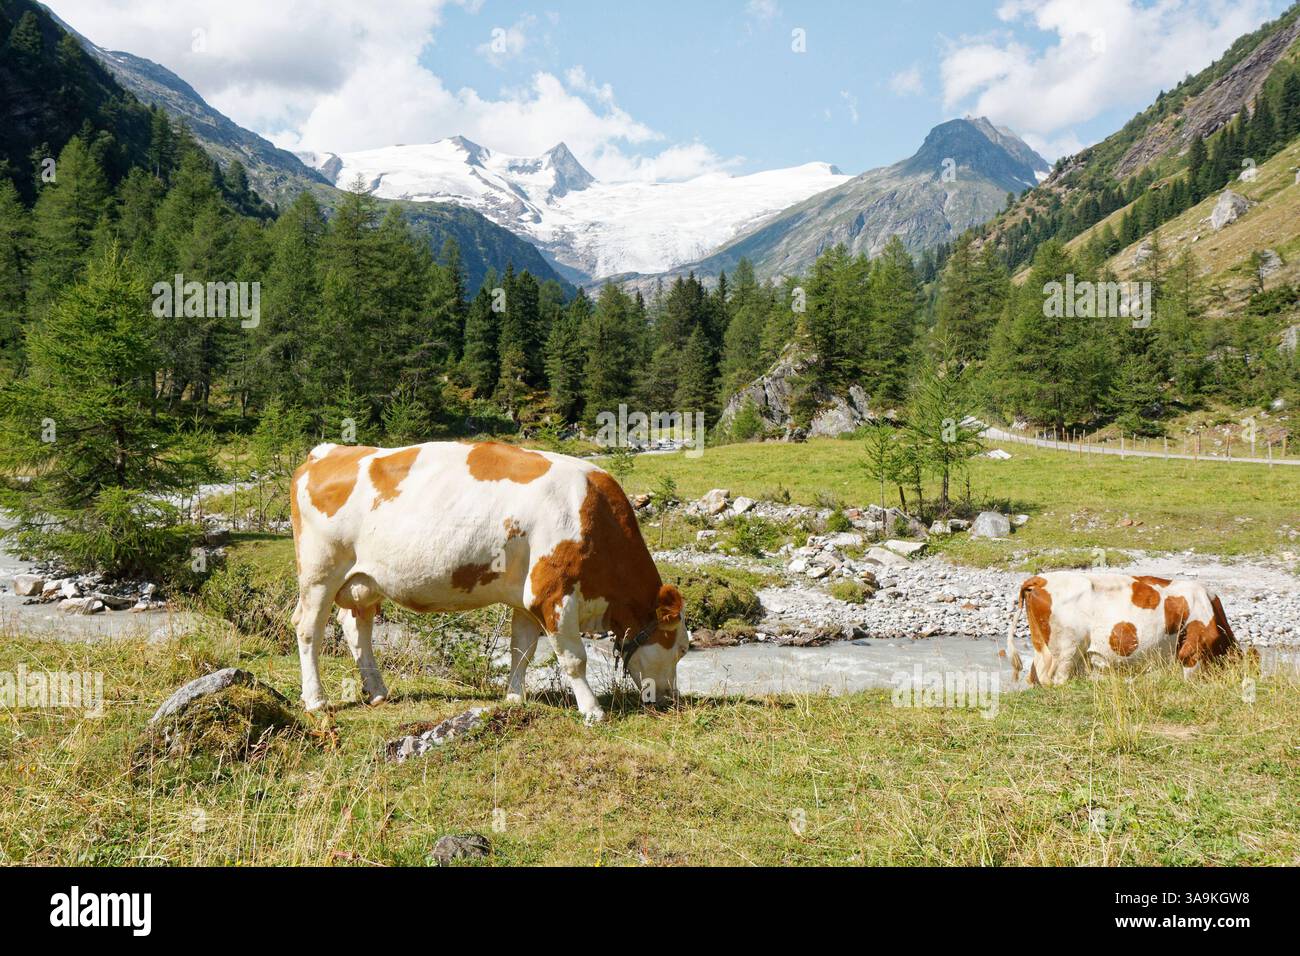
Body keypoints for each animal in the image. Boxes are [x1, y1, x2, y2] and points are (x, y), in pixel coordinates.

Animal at [288, 441, 688, 723]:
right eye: (681, 648)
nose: (670, 699)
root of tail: (328, 452)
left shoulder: (526, 599)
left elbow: (522, 650)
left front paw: (514, 697)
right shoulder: (553, 593)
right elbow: (574, 658)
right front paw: (592, 710)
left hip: (364, 581)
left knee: (358, 630)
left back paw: (377, 691)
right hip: (319, 574)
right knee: (308, 629)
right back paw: (316, 700)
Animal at [1004, 571, 1240, 685]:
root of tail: (1039, 579)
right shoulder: (1192, 654)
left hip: (1044, 648)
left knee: (1034, 676)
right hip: (1066, 650)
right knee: (1054, 679)